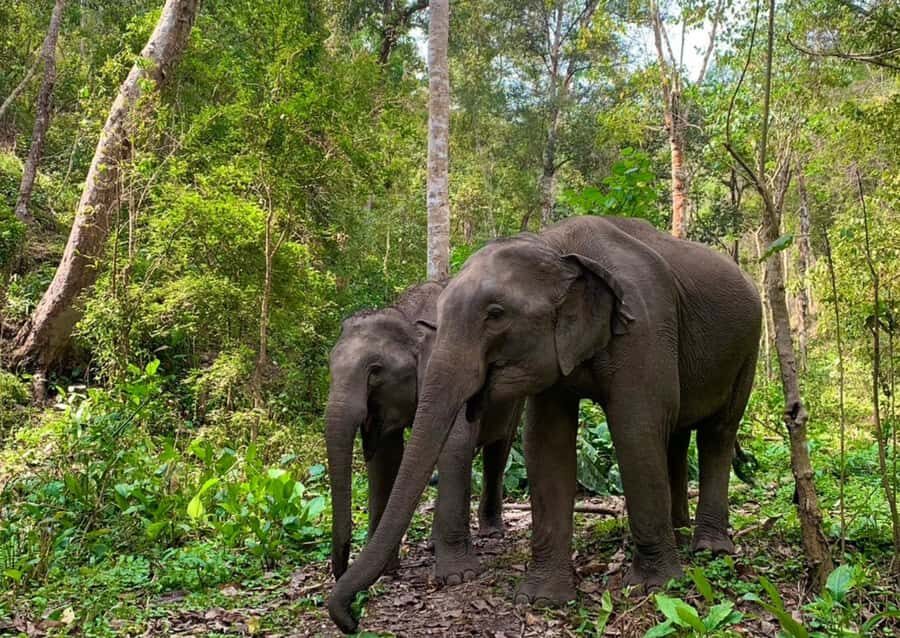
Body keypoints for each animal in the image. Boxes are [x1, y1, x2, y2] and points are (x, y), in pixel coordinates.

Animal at [326, 281, 522, 586]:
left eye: (375, 371)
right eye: (329, 366)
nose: (341, 570)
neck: (408, 318)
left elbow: (454, 446)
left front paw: (458, 576)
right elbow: (385, 461)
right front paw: (383, 571)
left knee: (499, 448)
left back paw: (491, 532)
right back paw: (432, 544)